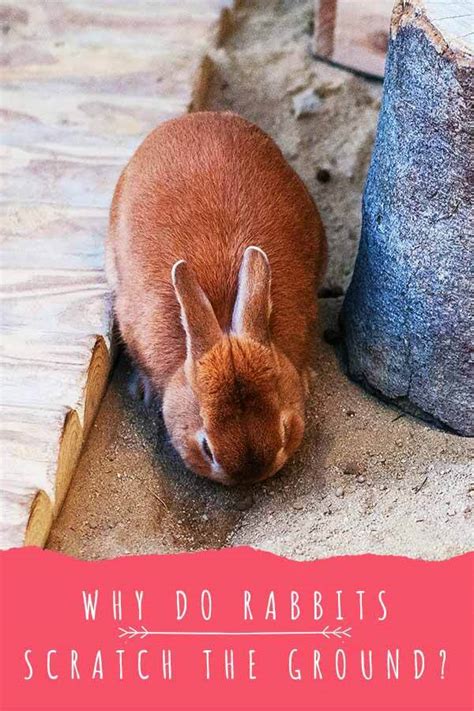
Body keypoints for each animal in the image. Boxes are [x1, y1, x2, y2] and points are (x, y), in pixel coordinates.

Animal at [107, 111, 327, 485]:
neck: (223, 321)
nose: (249, 477)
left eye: (285, 431)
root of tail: (197, 117)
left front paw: (307, 379)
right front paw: (146, 392)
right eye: (206, 448)